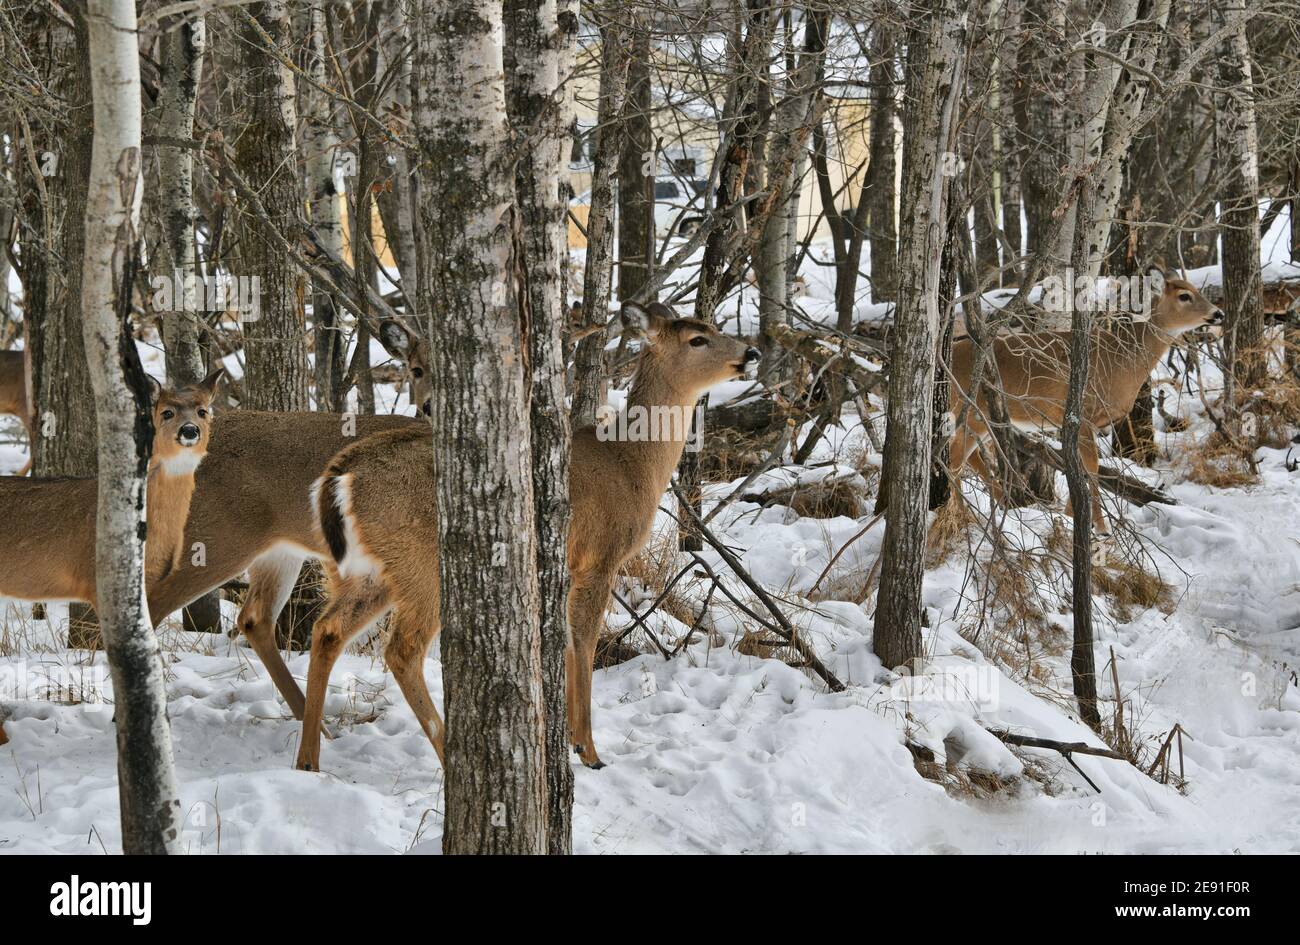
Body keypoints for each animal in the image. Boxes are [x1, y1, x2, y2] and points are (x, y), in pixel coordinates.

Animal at [142, 319, 431, 716]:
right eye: (417, 369)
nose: (430, 403)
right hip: (217, 536)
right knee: (154, 600)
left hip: (278, 549)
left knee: (254, 617)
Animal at [293, 301, 761, 773]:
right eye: (697, 338)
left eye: (713, 326)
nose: (752, 352)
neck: (630, 463)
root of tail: (342, 476)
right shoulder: (603, 555)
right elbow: (585, 640)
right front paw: (590, 751)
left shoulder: (567, 562)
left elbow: (568, 641)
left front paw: (571, 740)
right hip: (420, 561)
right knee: (401, 649)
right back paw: (449, 756)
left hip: (371, 568)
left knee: (328, 629)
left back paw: (308, 759)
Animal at [946, 267, 1222, 536]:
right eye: (1184, 295)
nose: (1218, 313)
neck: (1123, 361)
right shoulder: (1084, 414)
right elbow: (1092, 467)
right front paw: (1101, 527)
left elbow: (1078, 467)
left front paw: (1071, 516)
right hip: (970, 409)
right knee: (955, 459)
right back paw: (962, 517)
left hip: (979, 417)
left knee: (964, 457)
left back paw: (993, 507)